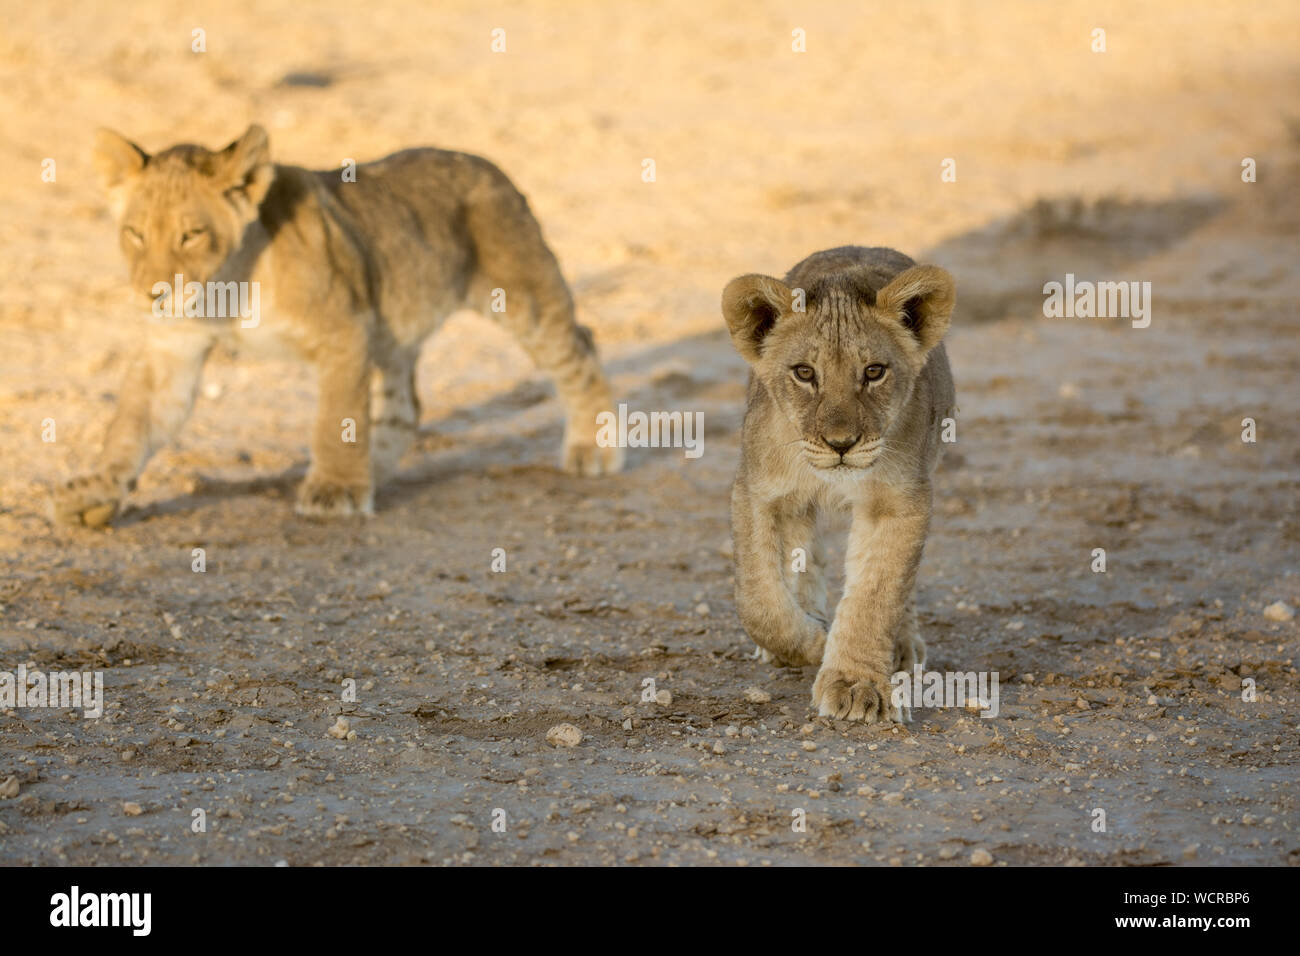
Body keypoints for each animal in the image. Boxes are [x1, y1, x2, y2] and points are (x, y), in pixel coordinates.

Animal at [50, 125, 622, 526]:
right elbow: (130, 423)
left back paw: (593, 450)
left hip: (522, 295)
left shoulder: (344, 330)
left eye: (191, 235)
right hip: (394, 320)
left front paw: (336, 490)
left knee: (580, 348)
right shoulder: (173, 347)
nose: (154, 294)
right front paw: (95, 489)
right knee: (404, 407)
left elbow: (334, 417)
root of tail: (490, 166)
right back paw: (377, 469)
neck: (224, 290)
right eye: (134, 233)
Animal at [722, 246, 957, 723]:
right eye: (804, 373)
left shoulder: (900, 501)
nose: (842, 443)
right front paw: (812, 640)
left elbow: (876, 594)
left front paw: (855, 684)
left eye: (874, 371)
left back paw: (902, 646)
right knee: (803, 557)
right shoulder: (757, 490)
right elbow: (759, 602)